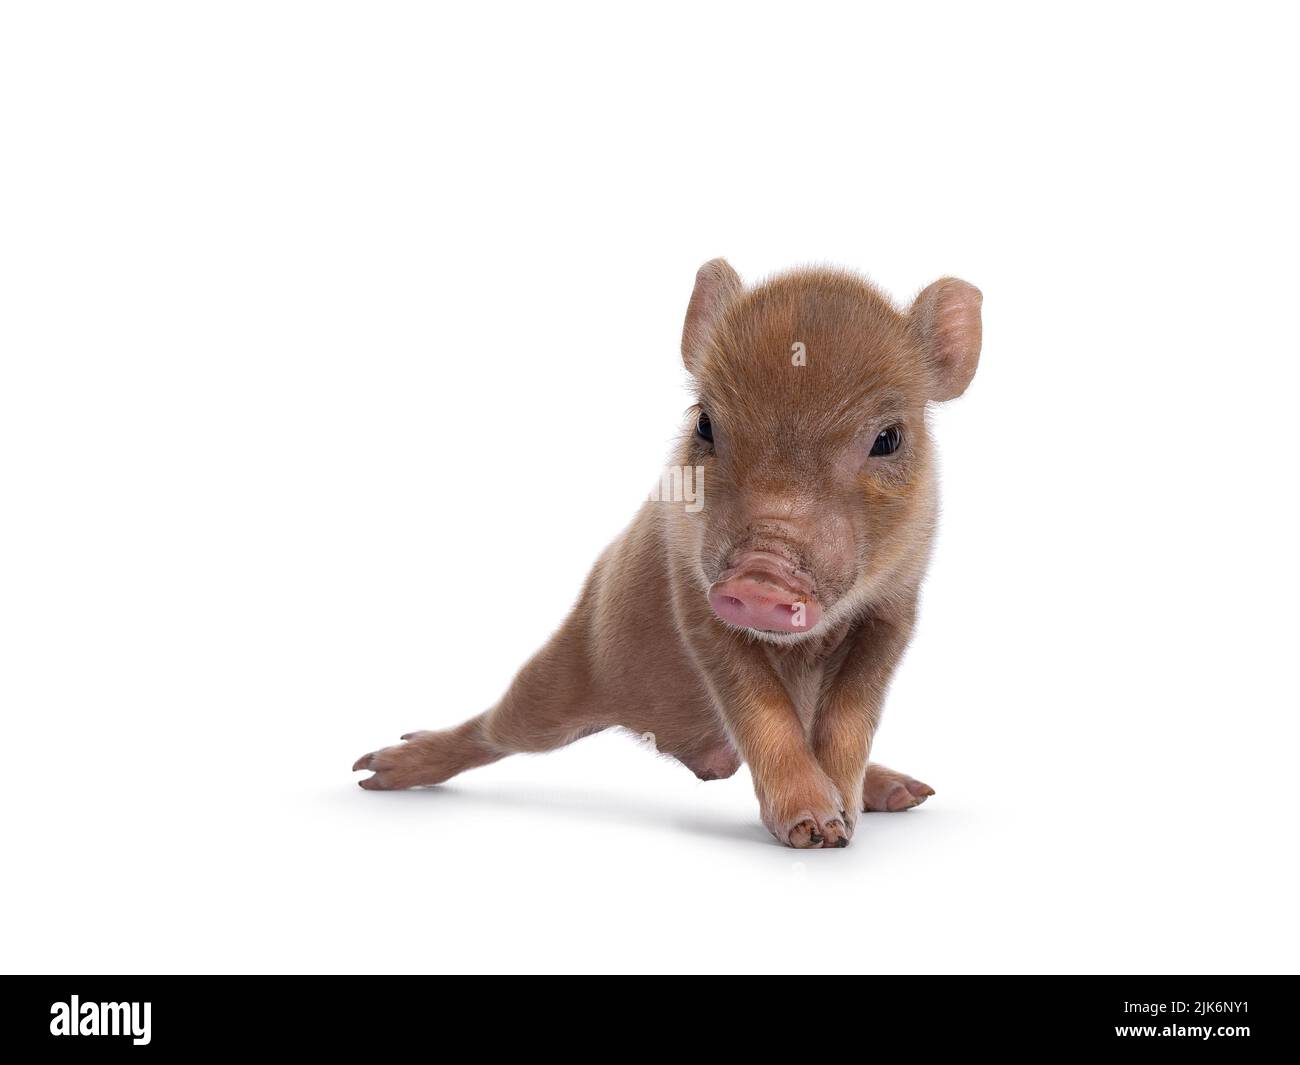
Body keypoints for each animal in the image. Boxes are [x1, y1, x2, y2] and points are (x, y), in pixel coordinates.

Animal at [353, 259, 982, 848]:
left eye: (888, 439)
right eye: (705, 423)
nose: (760, 578)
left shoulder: (895, 611)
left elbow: (852, 718)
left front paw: (840, 826)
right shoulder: (695, 599)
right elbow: (761, 709)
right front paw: (813, 830)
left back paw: (908, 793)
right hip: (555, 684)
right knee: (492, 729)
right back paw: (375, 768)